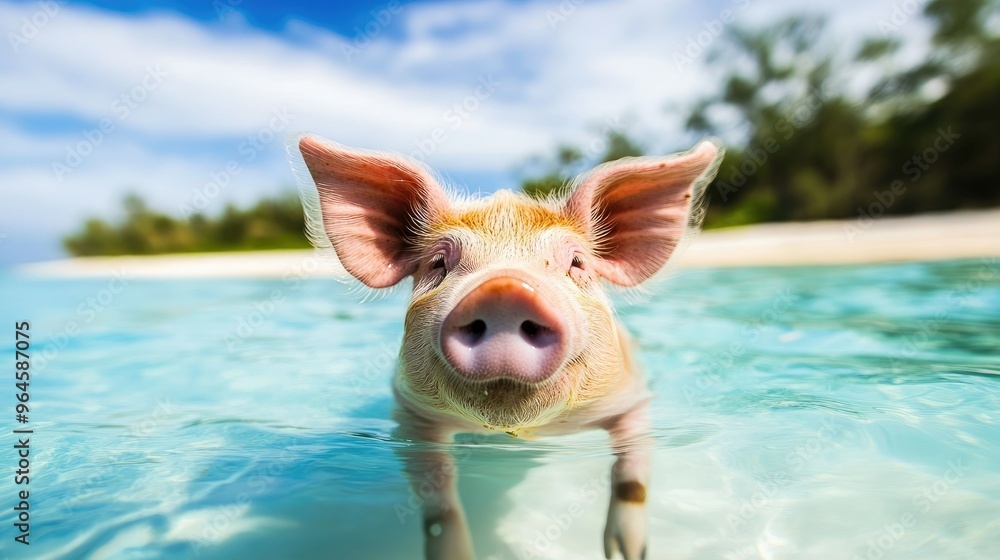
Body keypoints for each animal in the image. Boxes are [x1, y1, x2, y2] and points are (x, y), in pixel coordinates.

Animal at [291, 134, 722, 560]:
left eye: (577, 263)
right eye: (438, 264)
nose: (504, 291)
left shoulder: (630, 397)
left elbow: (632, 469)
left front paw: (627, 552)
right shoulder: (411, 416)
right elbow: (437, 495)